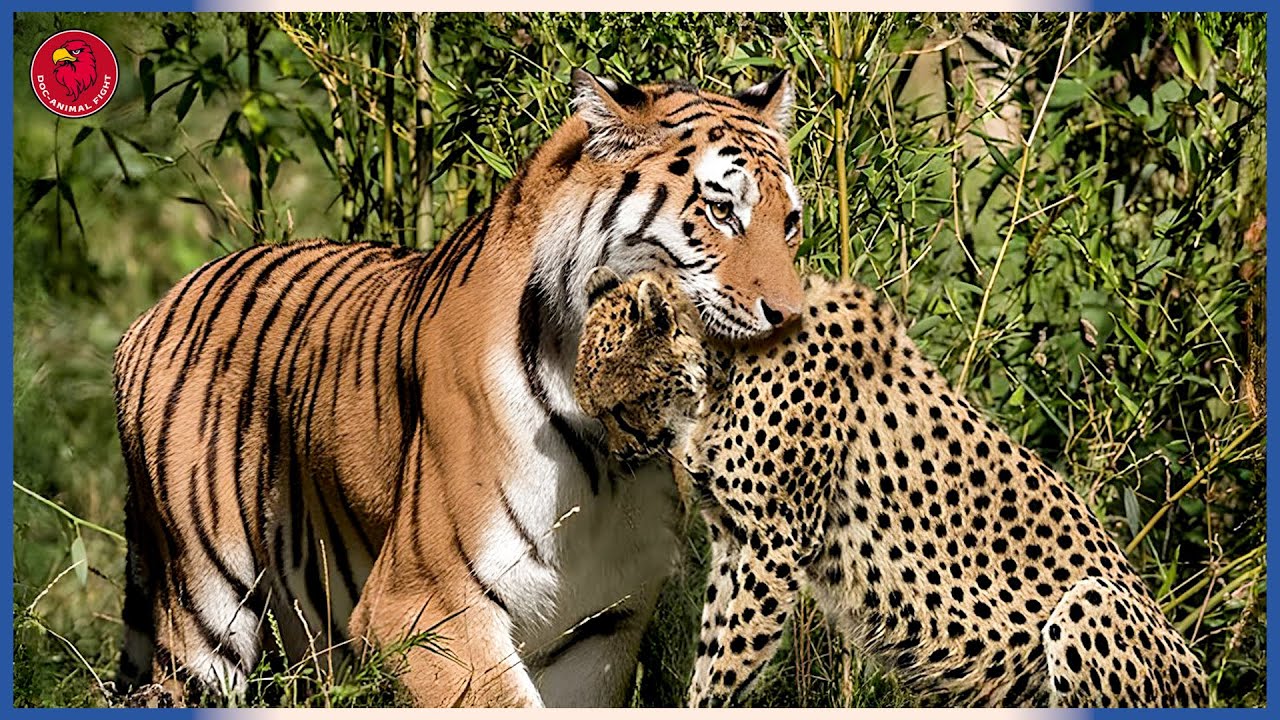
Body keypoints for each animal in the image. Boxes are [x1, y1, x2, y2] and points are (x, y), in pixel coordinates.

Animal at [112, 68, 806, 707]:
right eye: (721, 210)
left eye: (791, 222)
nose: (791, 316)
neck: (607, 456)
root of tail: (155, 309)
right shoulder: (424, 603)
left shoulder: (601, 627)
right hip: (206, 618)